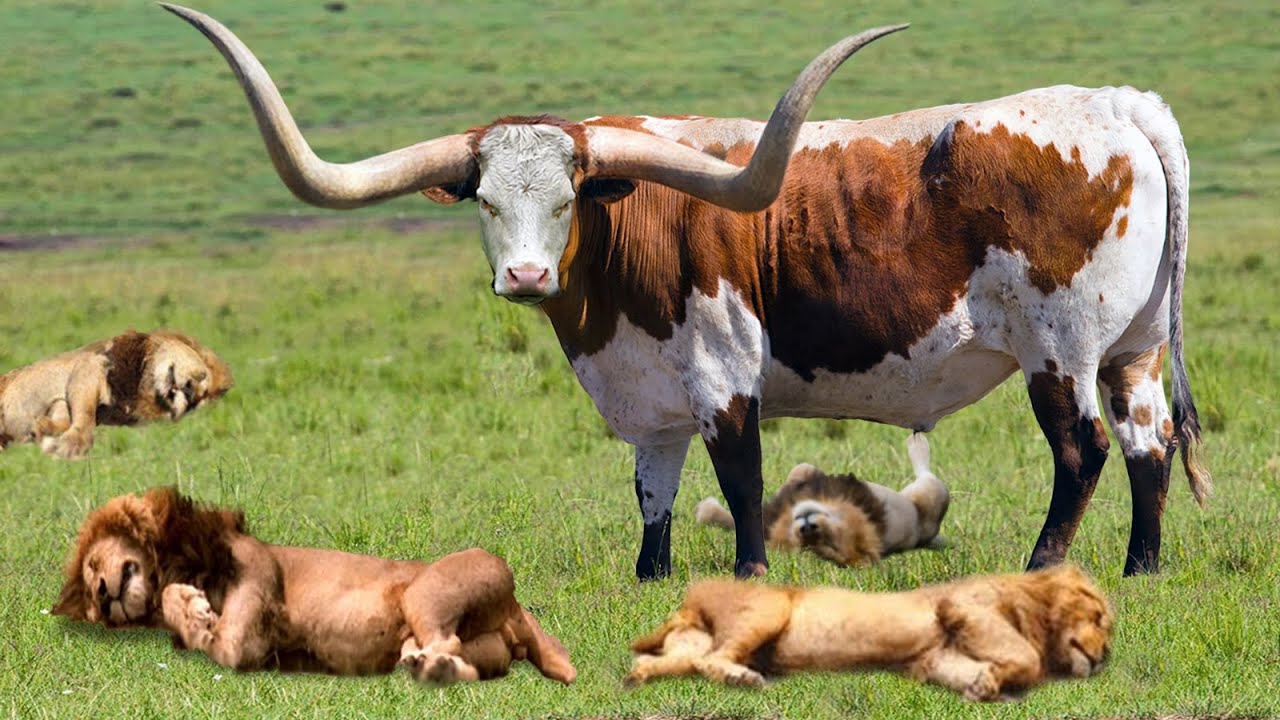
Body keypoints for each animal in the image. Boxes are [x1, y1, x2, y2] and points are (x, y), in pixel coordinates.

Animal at [0, 329, 233, 459]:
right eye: (202, 374)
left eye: (195, 404)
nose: (189, 395)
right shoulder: (89, 366)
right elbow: (84, 416)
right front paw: (71, 446)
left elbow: (66, 419)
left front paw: (46, 433)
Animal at [52, 487, 576, 685]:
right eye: (90, 580)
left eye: (96, 562)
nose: (103, 592)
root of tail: (517, 606)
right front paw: (191, 612)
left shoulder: (255, 570)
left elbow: (227, 645)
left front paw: (191, 607)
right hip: (474, 647)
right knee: (461, 663)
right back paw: (431, 669)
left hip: (425, 593)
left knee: (442, 641)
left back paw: (431, 668)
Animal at [624, 565, 1112, 701]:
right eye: (1100, 619)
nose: (1105, 656)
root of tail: (688, 601)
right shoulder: (961, 605)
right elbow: (1027, 657)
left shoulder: (934, 657)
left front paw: (982, 684)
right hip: (769, 607)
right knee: (712, 660)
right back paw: (743, 679)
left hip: (685, 647)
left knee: (662, 660)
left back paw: (635, 678)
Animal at [694, 433, 949, 566]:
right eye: (828, 542)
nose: (808, 527)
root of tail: (925, 537)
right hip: (933, 496)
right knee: (926, 474)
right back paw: (917, 442)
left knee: (925, 474)